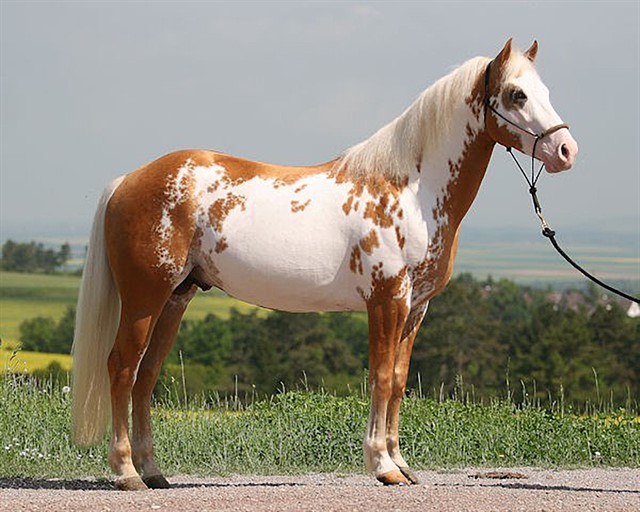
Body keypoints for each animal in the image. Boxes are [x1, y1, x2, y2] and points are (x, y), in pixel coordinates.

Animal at [71, 39, 578, 490]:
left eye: (546, 90)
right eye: (516, 94)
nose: (567, 151)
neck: (410, 190)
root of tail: (128, 180)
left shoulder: (416, 307)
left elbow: (397, 381)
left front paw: (402, 464)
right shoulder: (386, 300)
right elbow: (379, 377)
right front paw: (382, 466)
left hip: (176, 299)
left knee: (145, 377)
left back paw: (153, 471)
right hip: (144, 298)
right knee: (122, 368)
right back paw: (126, 472)